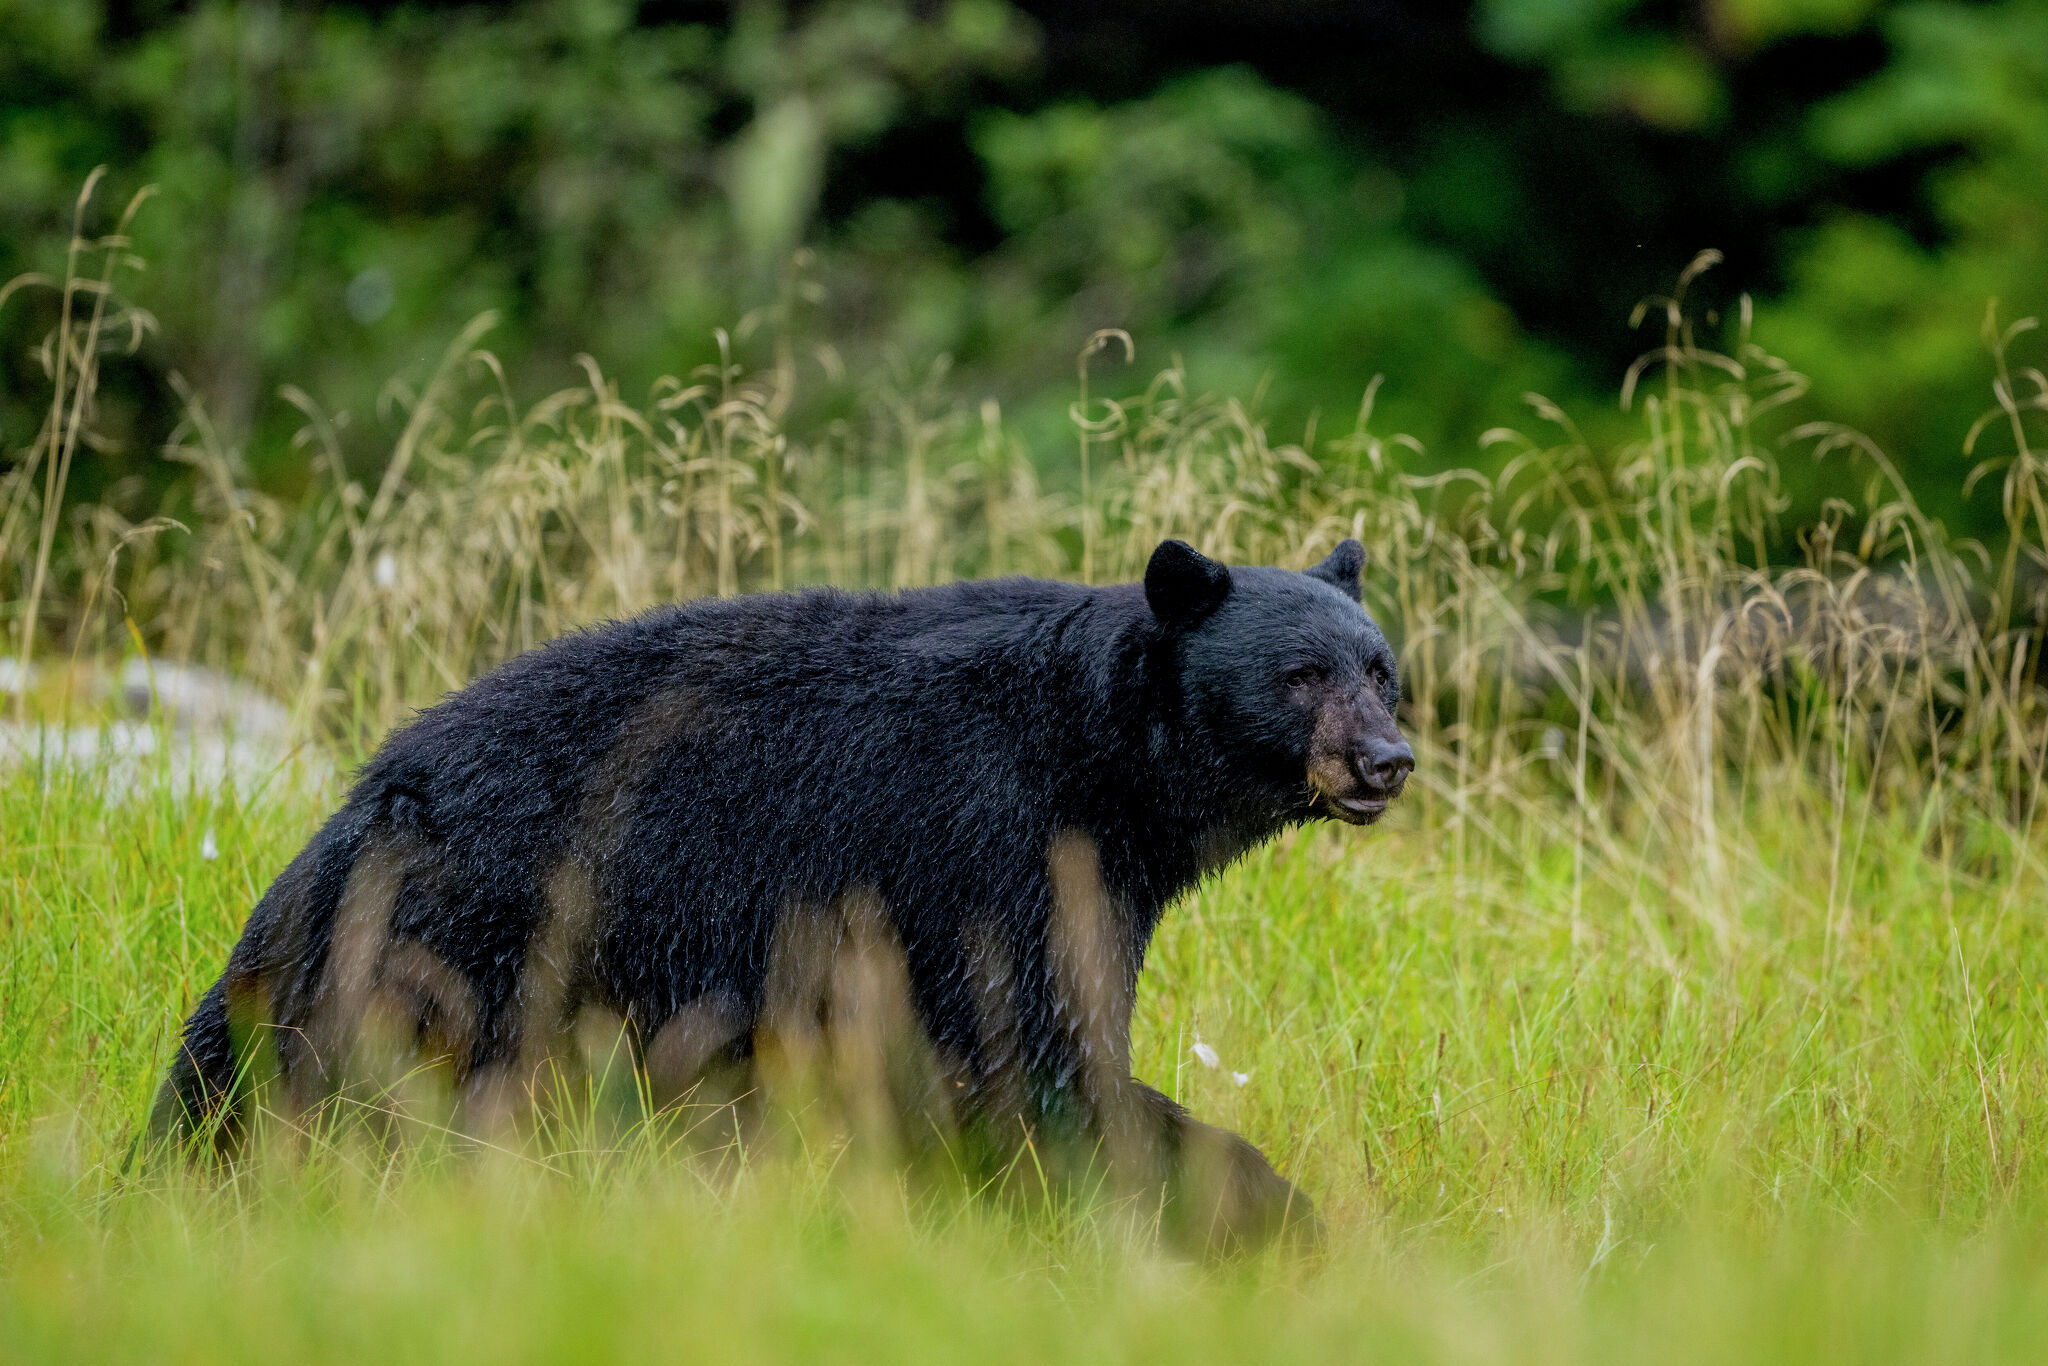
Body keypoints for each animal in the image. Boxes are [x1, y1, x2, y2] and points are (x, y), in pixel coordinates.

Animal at [149, 537, 1412, 1255]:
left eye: (1380, 668)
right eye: (1300, 675)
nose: (1385, 760)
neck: (1104, 763)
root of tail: (362, 805)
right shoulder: (985, 843)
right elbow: (1024, 1051)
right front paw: (1257, 1214)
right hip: (474, 940)